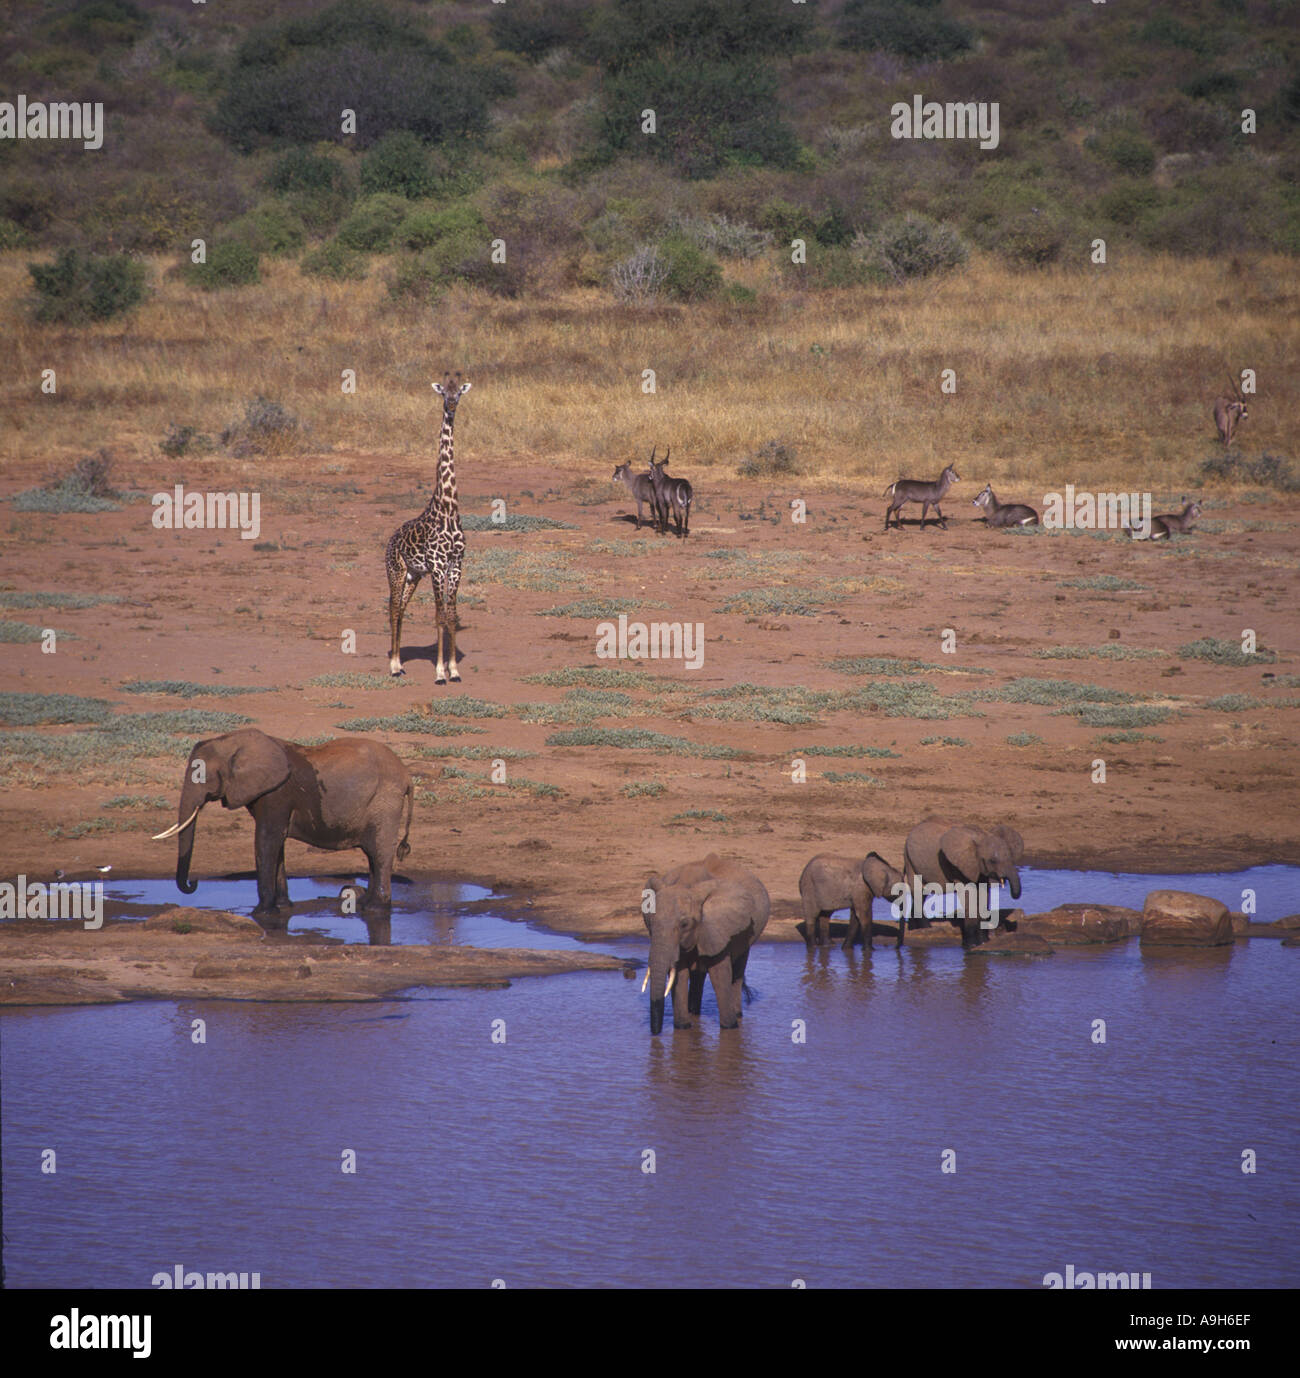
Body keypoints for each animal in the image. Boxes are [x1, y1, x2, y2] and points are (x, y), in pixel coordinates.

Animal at [152, 728, 413, 926]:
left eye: (200, 774)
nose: (194, 882)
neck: (235, 742)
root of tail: (407, 776)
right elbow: (276, 845)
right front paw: (282, 907)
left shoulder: (276, 794)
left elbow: (266, 841)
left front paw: (261, 914)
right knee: (372, 854)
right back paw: (366, 904)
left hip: (385, 801)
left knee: (379, 853)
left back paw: (375, 909)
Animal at [643, 854, 770, 1035]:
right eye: (650, 924)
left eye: (684, 924)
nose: (655, 1034)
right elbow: (680, 977)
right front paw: (683, 1028)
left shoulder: (719, 928)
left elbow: (720, 976)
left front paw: (730, 1027)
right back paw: (694, 1012)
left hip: (747, 934)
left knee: (737, 971)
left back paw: (737, 1014)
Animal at [902, 818, 1024, 947]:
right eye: (992, 861)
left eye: (1011, 857)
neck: (982, 836)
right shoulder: (956, 866)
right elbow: (969, 895)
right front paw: (971, 945)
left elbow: (984, 895)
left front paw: (984, 942)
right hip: (909, 858)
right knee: (918, 891)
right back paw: (927, 928)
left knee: (922, 893)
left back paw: (915, 929)